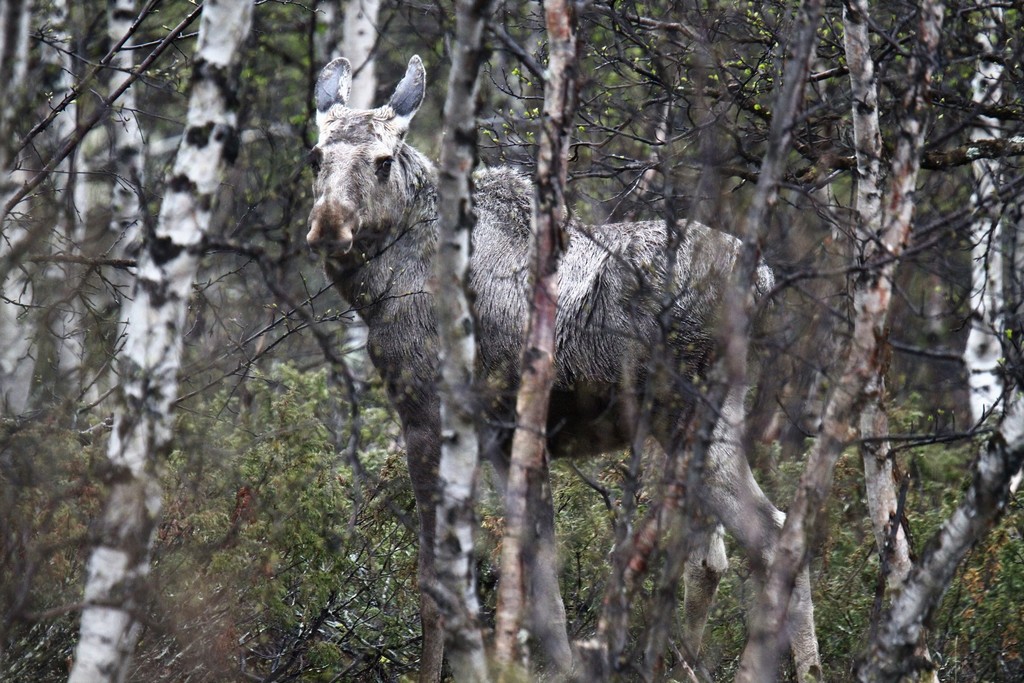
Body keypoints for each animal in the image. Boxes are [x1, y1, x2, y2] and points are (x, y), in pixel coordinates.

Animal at [306, 55, 821, 682]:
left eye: (382, 161)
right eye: (315, 157)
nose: (328, 227)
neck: (380, 289)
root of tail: (767, 283)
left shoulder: (427, 415)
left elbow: (438, 585)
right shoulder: (507, 438)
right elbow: (540, 582)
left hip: (681, 411)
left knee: (764, 539)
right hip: (716, 415)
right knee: (730, 551)